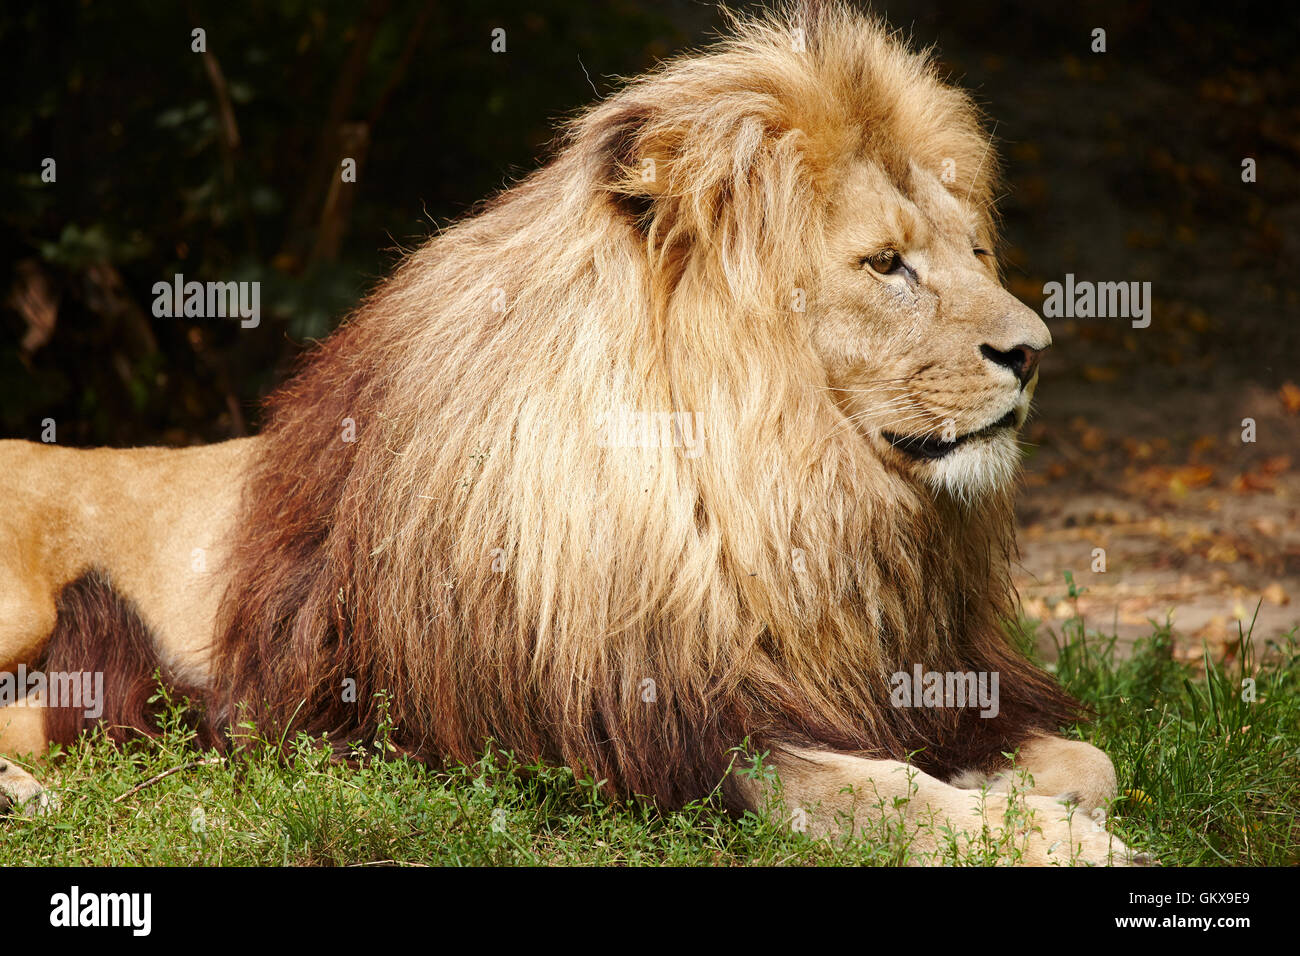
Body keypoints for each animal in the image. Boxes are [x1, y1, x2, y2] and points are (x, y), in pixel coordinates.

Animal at [0, 3, 1137, 864]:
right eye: (885, 264)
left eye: (974, 249)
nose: (1033, 350)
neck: (786, 500)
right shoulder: (661, 739)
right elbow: (886, 794)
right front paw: (1060, 843)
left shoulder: (899, 691)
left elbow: (1094, 761)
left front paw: (1055, 804)